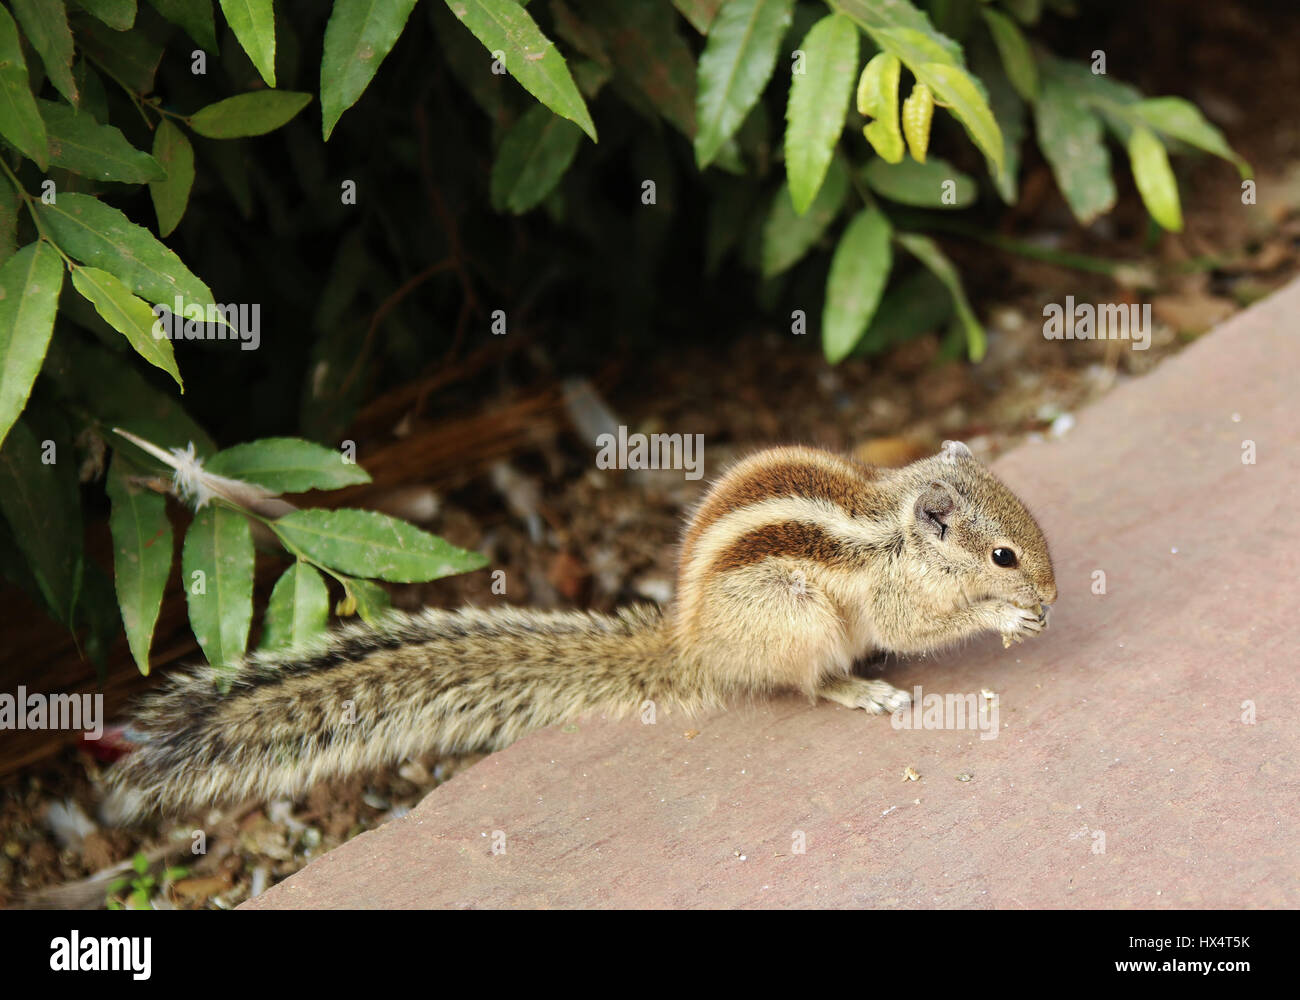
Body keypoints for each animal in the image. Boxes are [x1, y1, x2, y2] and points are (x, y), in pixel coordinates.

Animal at [102, 440, 1056, 821]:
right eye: (1004, 554)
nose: (1050, 592)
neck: (895, 527)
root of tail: (691, 645)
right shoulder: (891, 590)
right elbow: (921, 620)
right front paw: (1004, 615)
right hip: (796, 615)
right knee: (807, 682)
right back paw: (861, 687)